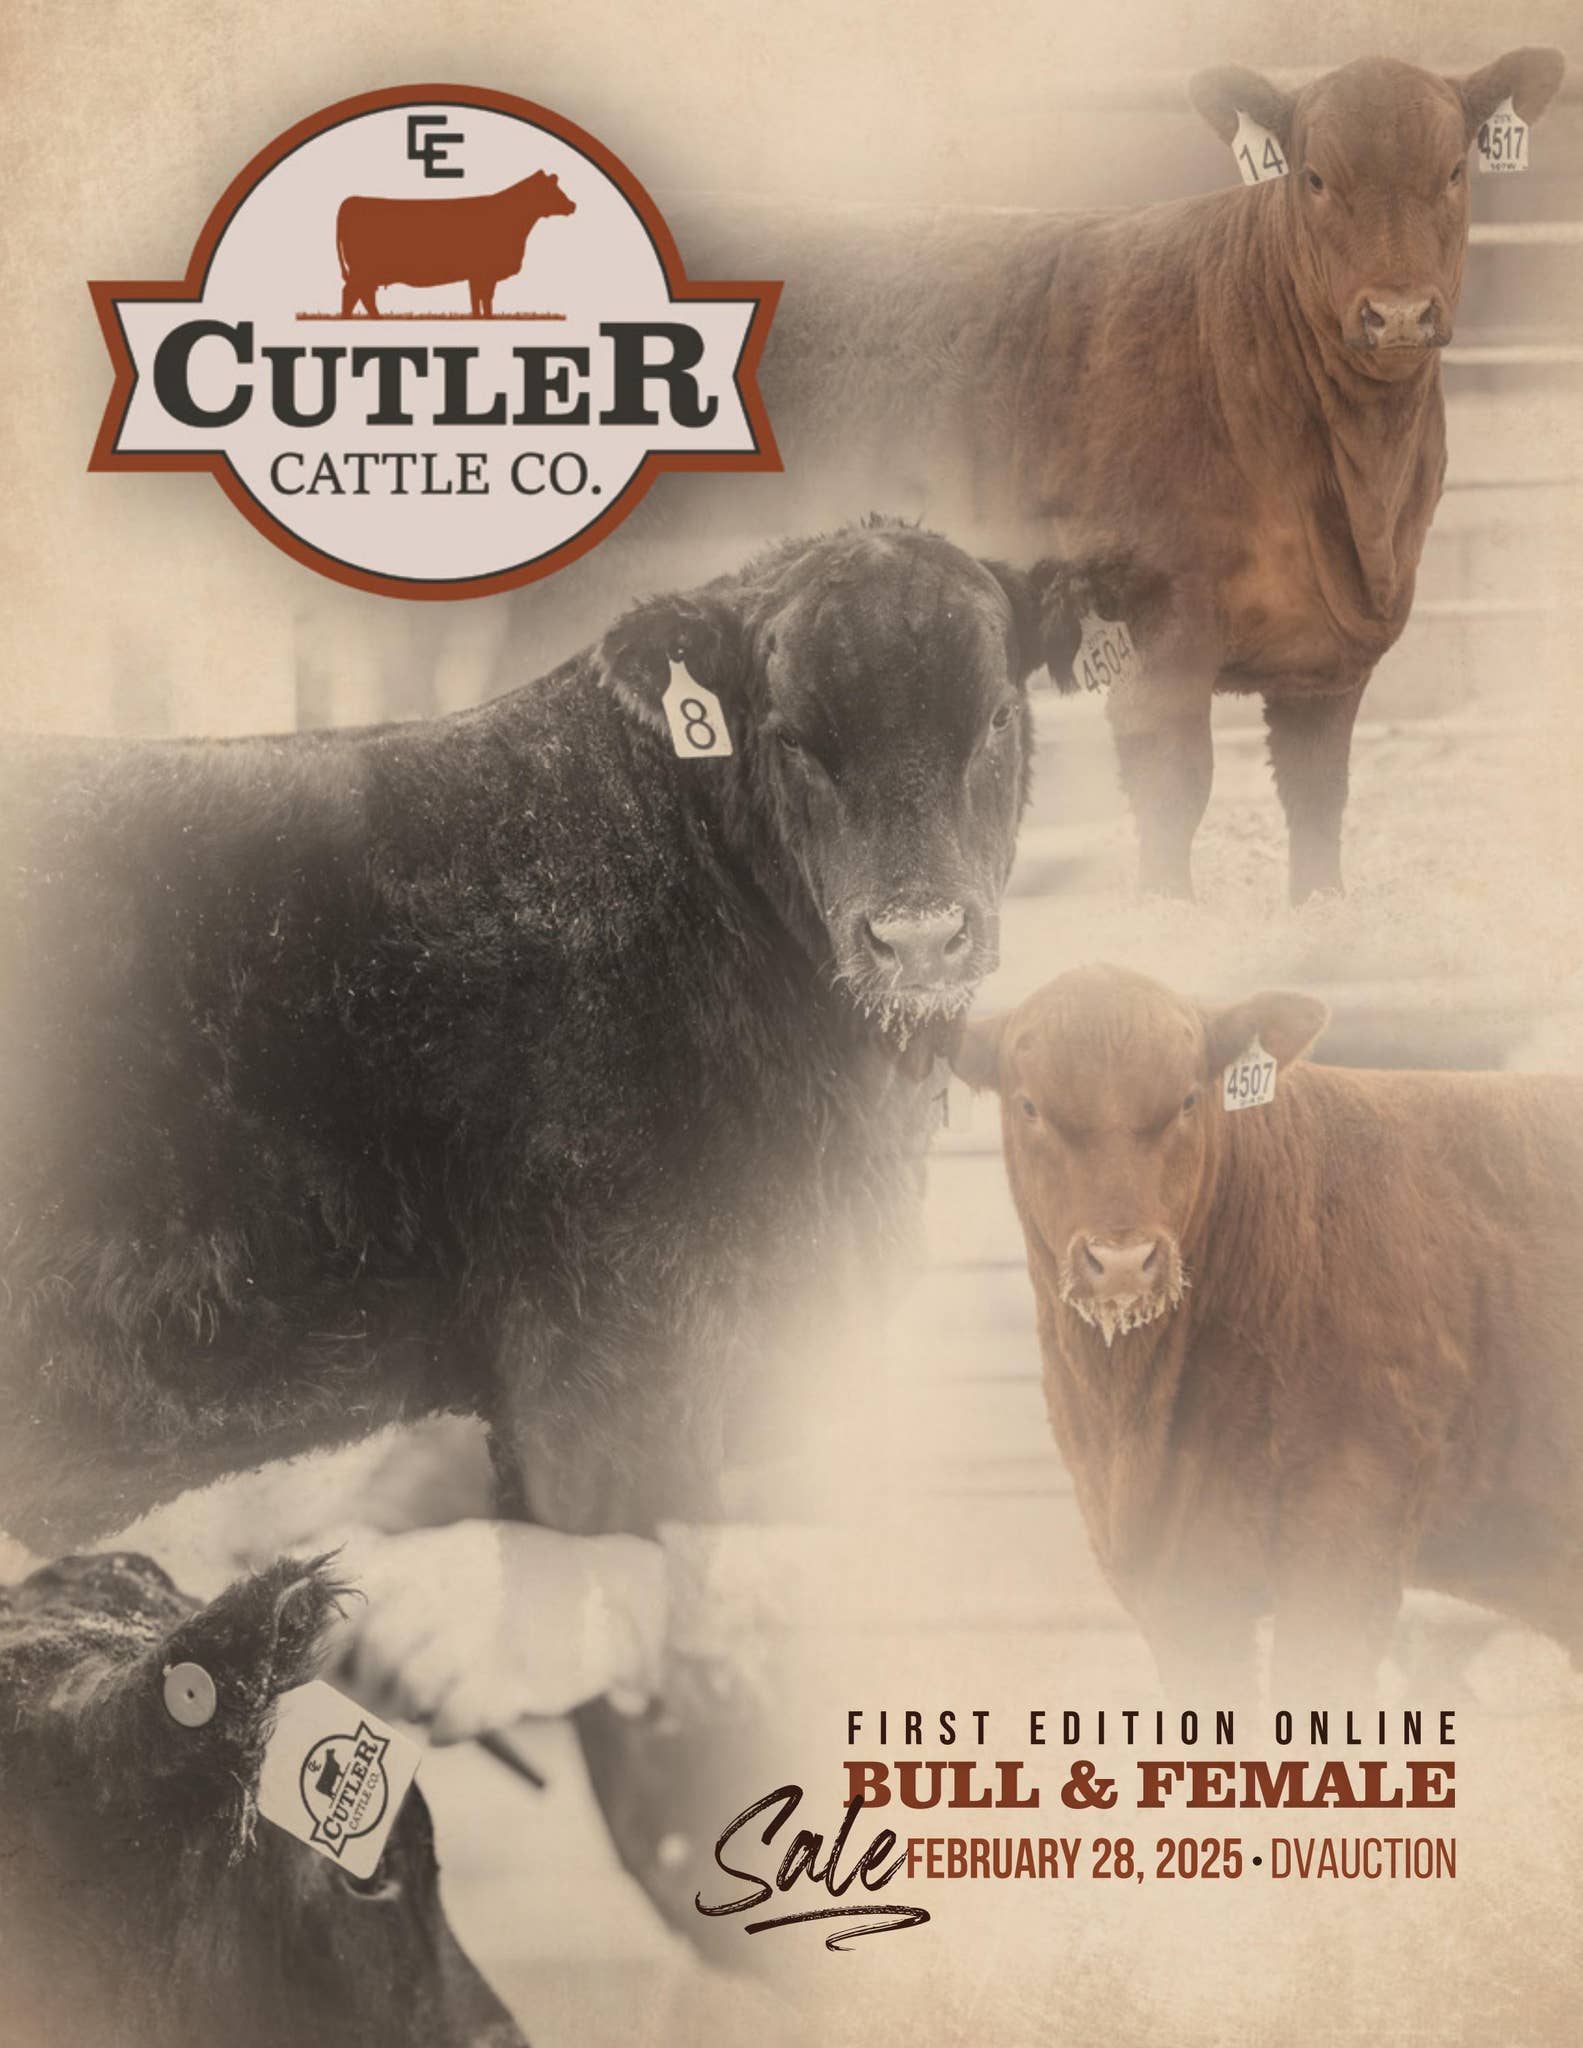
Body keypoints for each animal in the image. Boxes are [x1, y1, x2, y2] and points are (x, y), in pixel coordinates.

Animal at [336, 171, 576, 317]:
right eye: (552, 190)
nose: (572, 205)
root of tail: (352, 199)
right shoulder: (485, 273)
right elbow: (484, 301)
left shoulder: (477, 275)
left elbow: (478, 302)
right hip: (363, 270)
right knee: (351, 294)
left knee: (364, 296)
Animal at [488, 46, 1566, 903]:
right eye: (1310, 176)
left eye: (1453, 169)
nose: (1397, 313)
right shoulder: (1155, 642)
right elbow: (1174, 798)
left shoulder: (1329, 659)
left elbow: (1316, 802)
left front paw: (1318, 915)